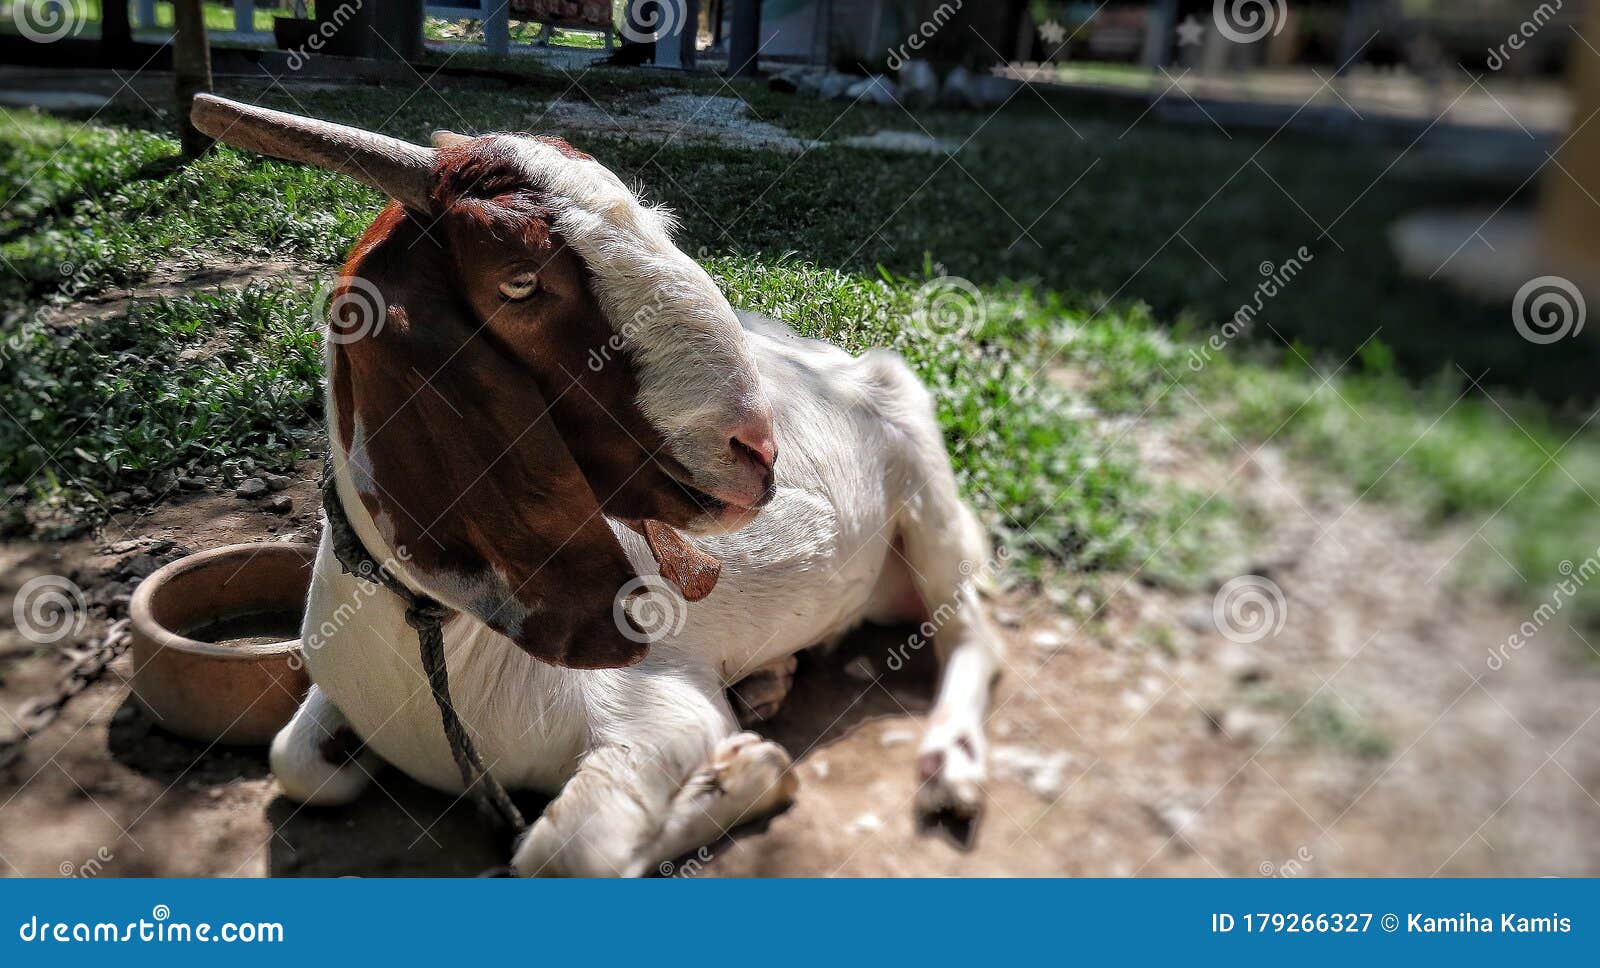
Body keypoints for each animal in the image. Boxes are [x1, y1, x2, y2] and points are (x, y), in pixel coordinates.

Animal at [192, 95, 1004, 876]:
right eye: (520, 283)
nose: (759, 448)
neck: (434, 643)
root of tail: (838, 360)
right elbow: (294, 764)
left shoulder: (657, 715)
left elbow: (565, 852)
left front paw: (753, 774)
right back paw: (771, 681)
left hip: (928, 492)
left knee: (968, 630)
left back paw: (951, 770)